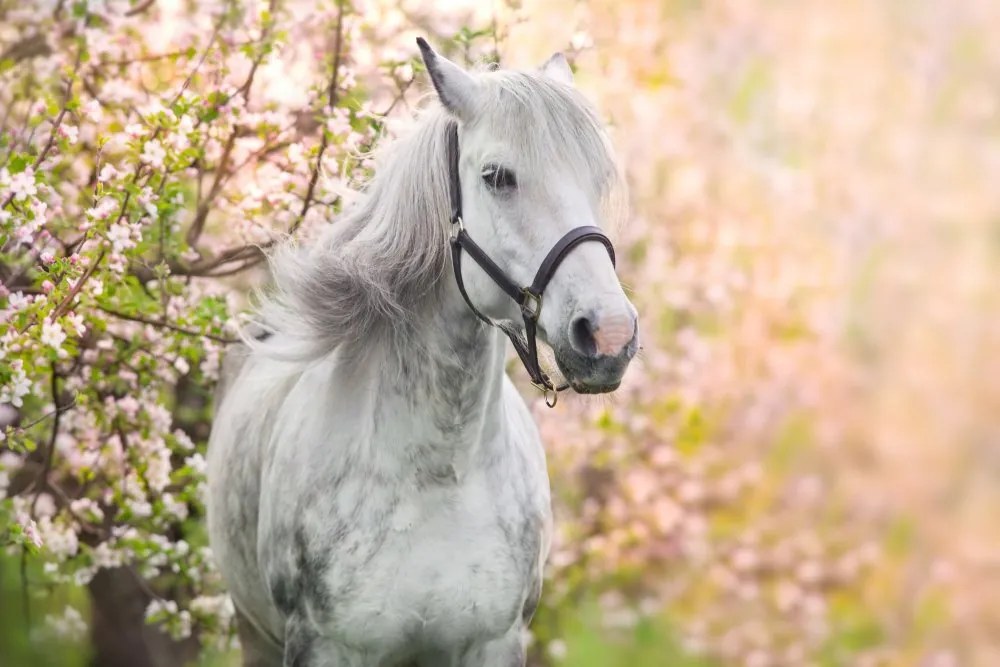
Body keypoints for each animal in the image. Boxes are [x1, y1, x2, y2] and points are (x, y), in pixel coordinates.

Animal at [207, 37, 640, 667]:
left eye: (597, 177)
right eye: (497, 176)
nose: (608, 336)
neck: (441, 476)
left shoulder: (494, 643)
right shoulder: (323, 645)